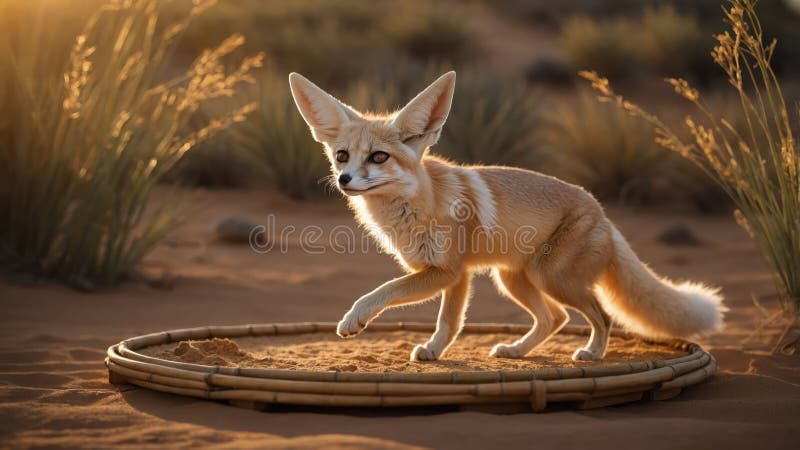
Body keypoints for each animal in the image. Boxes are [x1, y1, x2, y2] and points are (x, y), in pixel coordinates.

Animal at [288, 71, 725, 362]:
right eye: (342, 156)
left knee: (601, 316)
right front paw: (433, 351)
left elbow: (385, 292)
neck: (417, 205)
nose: (344, 180)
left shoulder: (446, 271)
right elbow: (448, 322)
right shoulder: (458, 275)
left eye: (378, 157)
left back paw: (591, 354)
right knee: (555, 318)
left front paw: (355, 320)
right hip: (513, 278)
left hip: (552, 278)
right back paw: (517, 350)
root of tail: (602, 212)